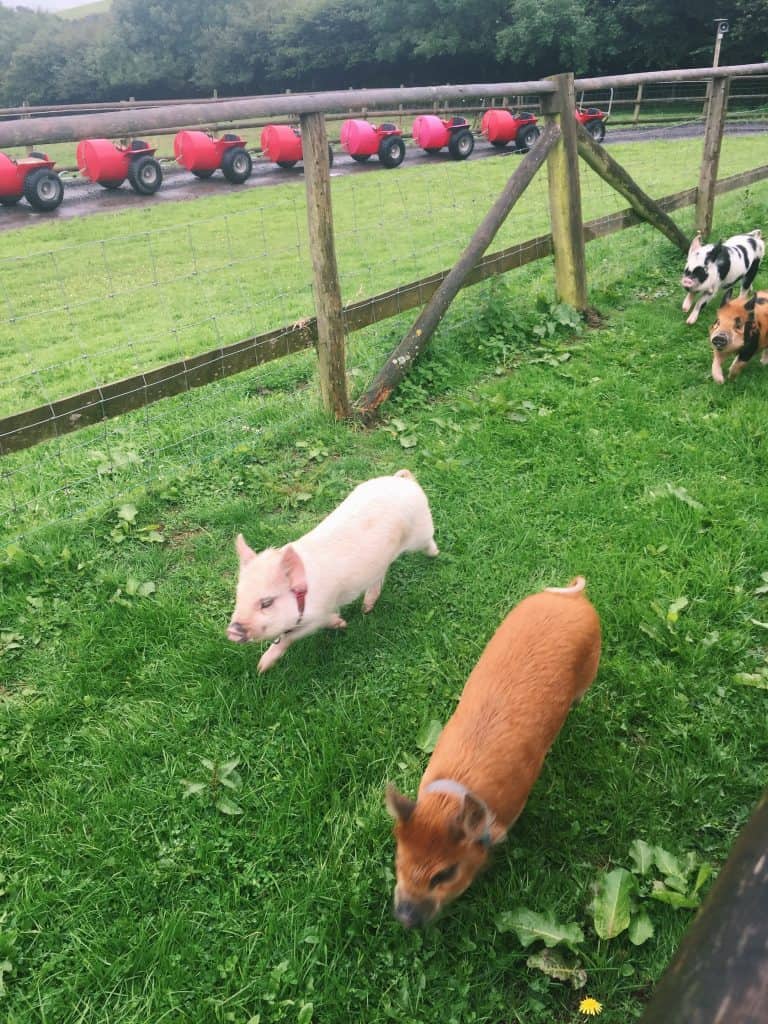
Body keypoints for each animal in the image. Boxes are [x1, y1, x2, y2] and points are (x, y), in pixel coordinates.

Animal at [227, 469, 438, 673]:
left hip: (420, 531)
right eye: (239, 597)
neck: (303, 595)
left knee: (428, 540)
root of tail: (404, 482)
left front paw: (262, 667)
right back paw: (366, 608)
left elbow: (289, 638)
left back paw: (435, 554)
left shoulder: (317, 615)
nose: (232, 630)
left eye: (267, 602)